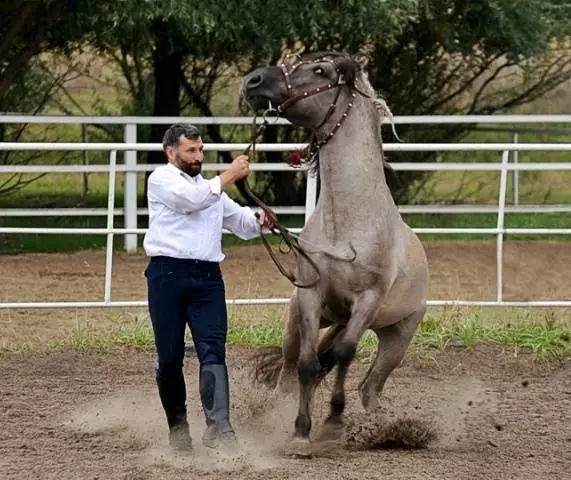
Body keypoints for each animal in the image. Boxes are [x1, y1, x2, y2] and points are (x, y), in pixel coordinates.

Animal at [241, 51, 428, 458]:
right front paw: (300, 434)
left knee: (370, 387)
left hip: (396, 338)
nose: (253, 80)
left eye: (320, 70)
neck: (348, 222)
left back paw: (384, 428)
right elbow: (309, 365)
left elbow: (343, 355)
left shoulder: (368, 301)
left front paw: (332, 423)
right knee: (288, 370)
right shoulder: (311, 296)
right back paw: (271, 415)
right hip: (300, 319)